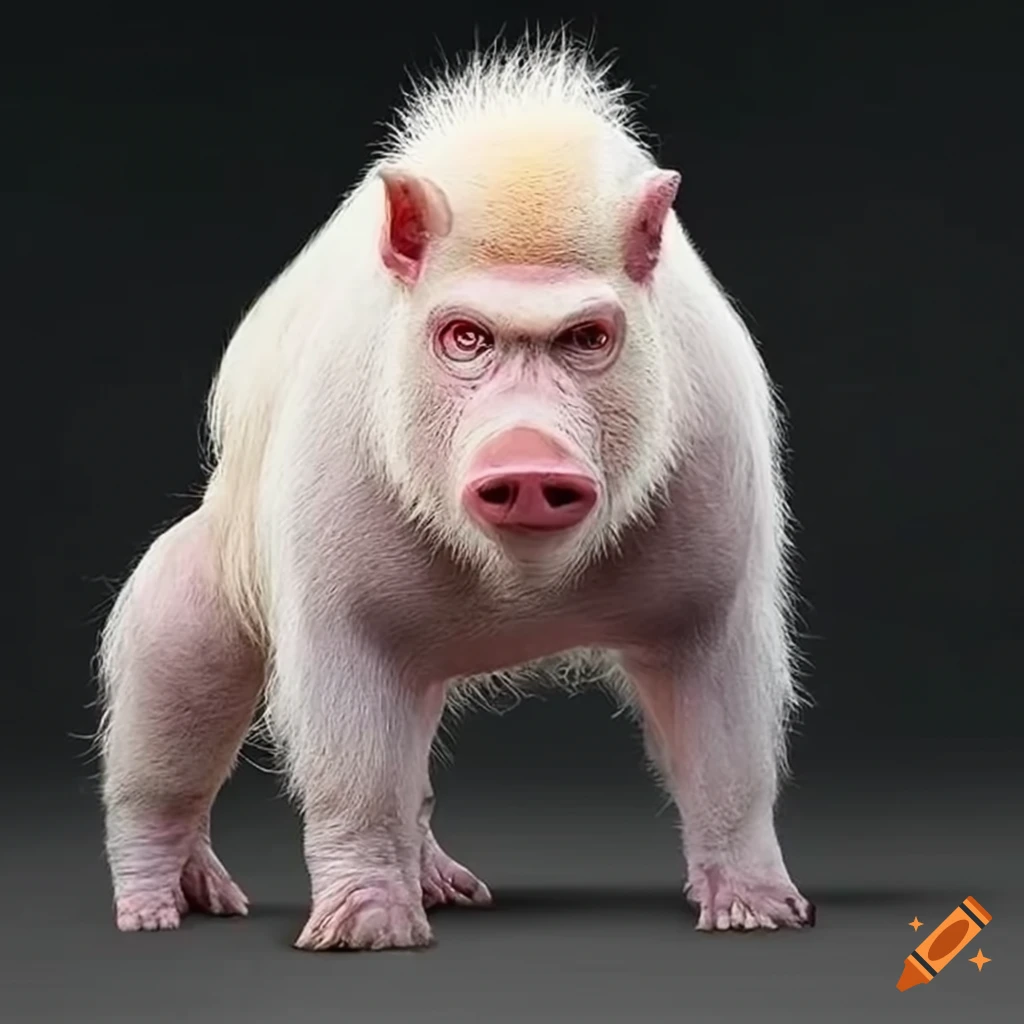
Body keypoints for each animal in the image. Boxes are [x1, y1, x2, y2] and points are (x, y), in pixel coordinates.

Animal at [96, 35, 814, 951]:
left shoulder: (720, 566)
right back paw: (162, 916)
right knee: (165, 732)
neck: (523, 600)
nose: (531, 459)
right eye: (465, 336)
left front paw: (762, 919)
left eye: (588, 337)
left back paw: (453, 893)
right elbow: (351, 762)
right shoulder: (333, 583)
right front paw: (370, 939)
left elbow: (729, 744)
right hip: (187, 598)